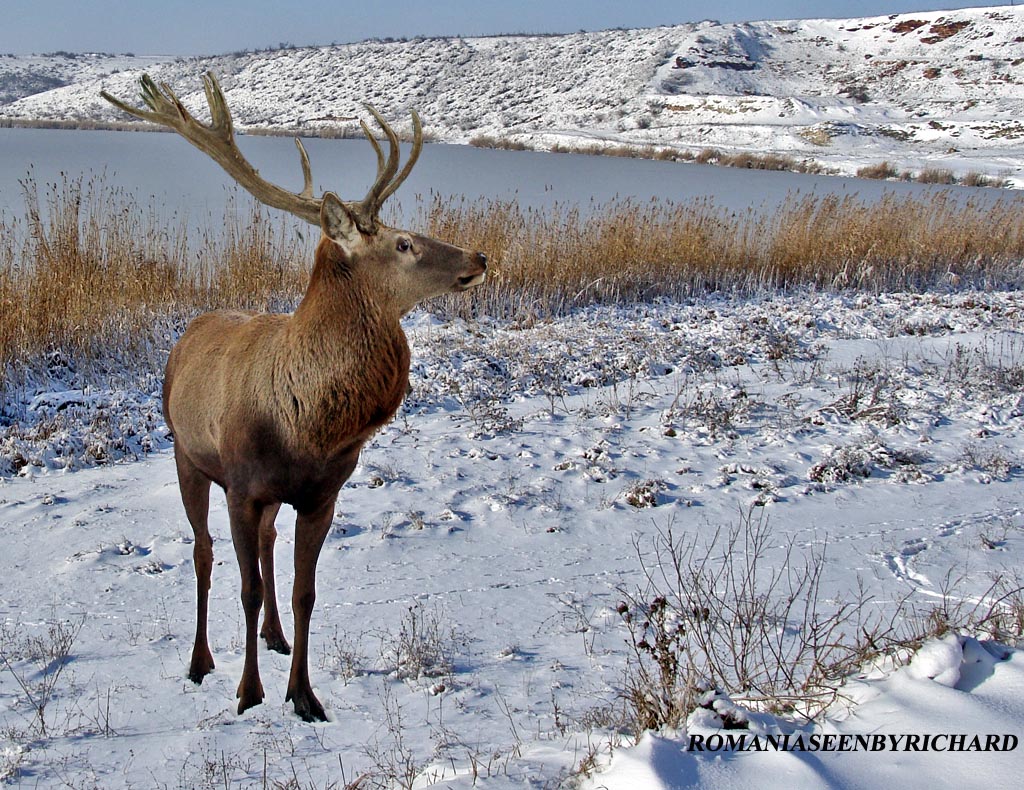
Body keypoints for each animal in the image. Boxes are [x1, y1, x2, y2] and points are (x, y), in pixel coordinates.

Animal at [102, 73, 487, 721]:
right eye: (404, 243)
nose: (479, 255)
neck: (306, 426)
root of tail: (190, 331)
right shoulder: (240, 485)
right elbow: (246, 587)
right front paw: (248, 691)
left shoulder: (321, 494)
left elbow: (305, 591)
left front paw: (304, 694)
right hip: (186, 454)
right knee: (204, 555)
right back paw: (200, 660)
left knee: (267, 545)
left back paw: (275, 638)